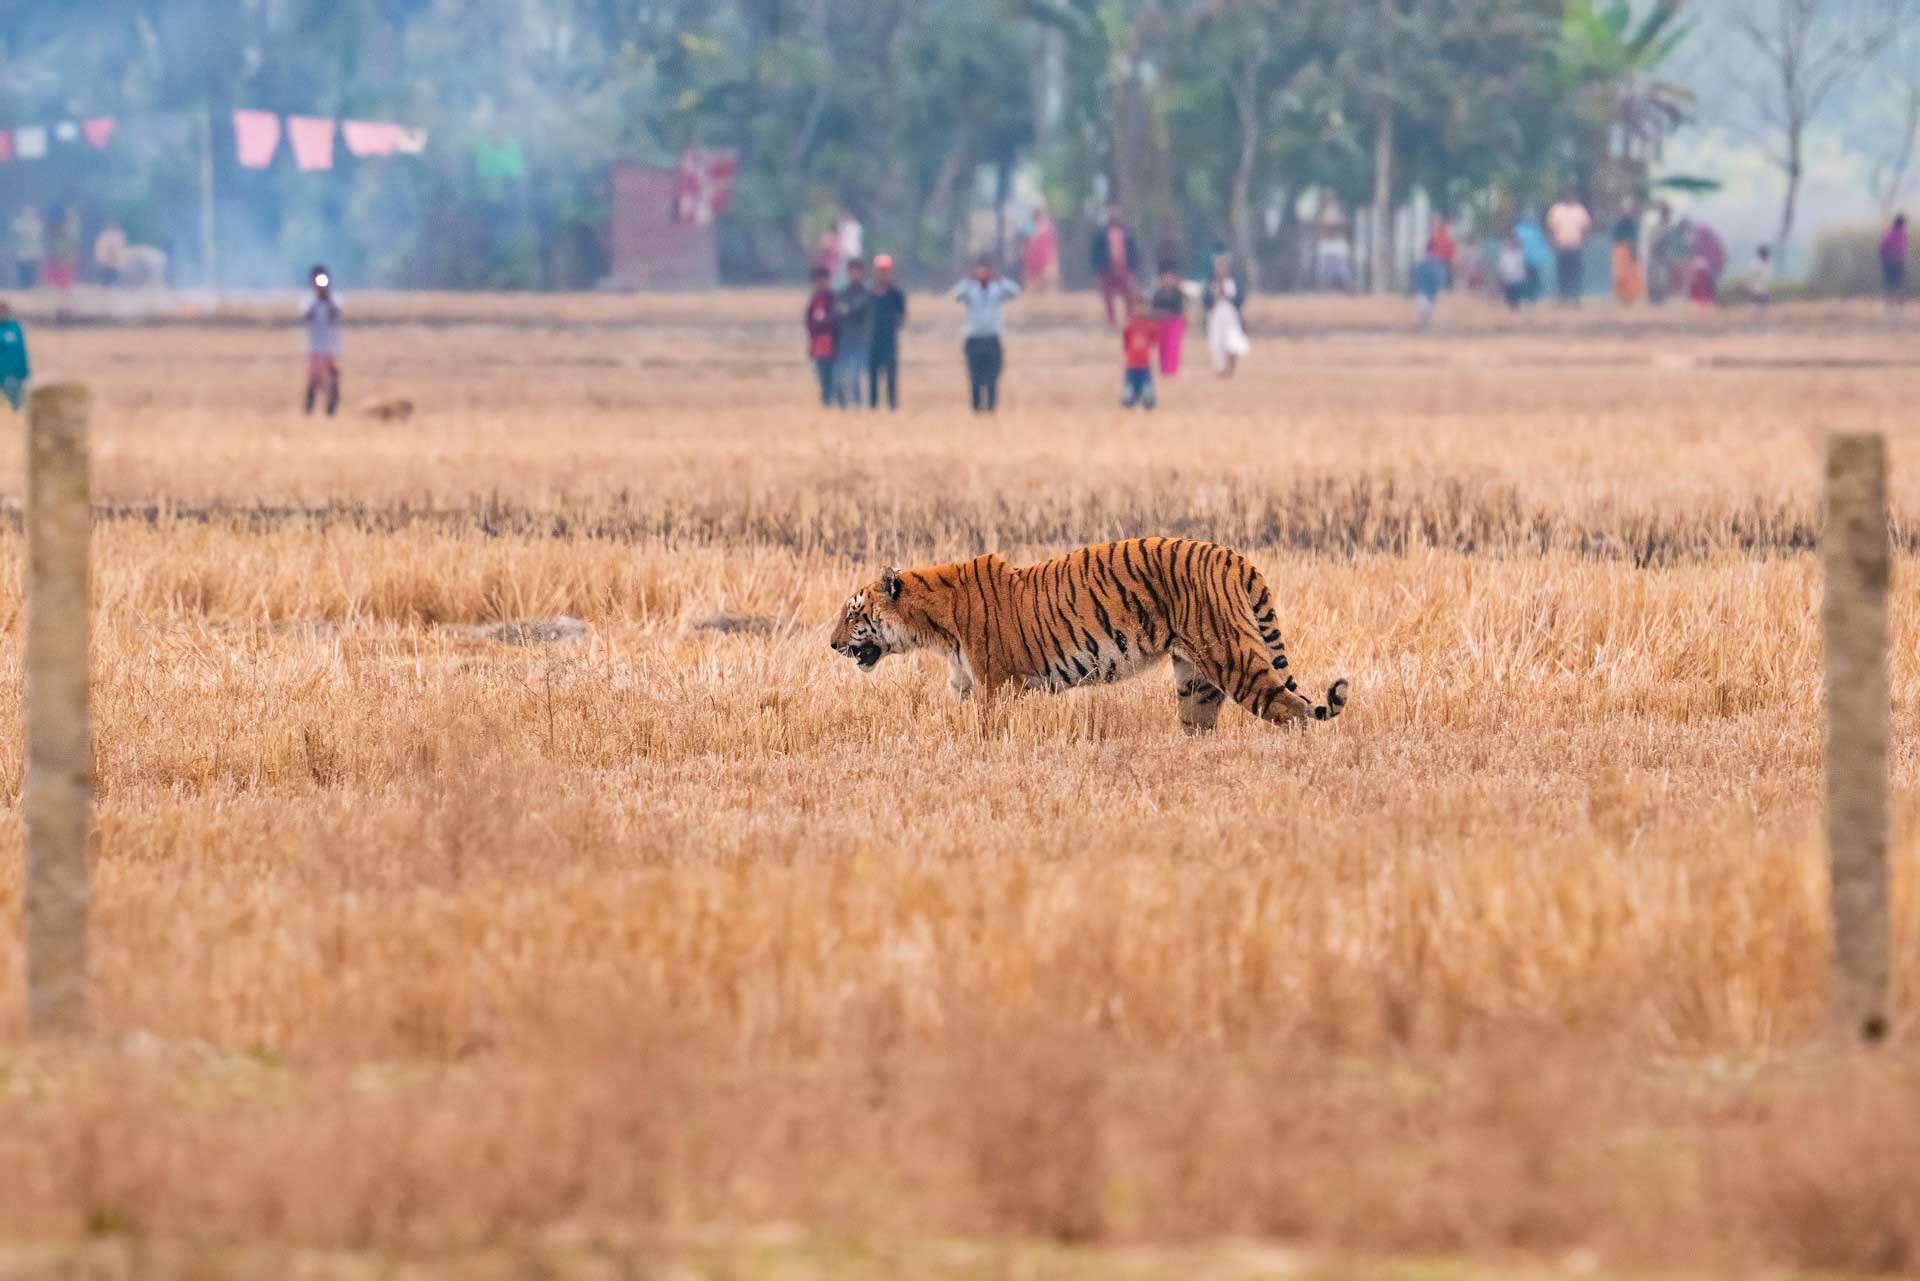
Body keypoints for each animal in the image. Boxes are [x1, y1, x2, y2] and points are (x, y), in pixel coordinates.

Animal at [828, 536, 1348, 731]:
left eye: (853, 614)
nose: (831, 644)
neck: (935, 628)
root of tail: (1236, 557)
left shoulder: (997, 686)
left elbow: (988, 730)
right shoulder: (966, 685)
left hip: (1232, 657)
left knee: (1293, 708)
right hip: (1195, 677)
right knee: (1201, 721)